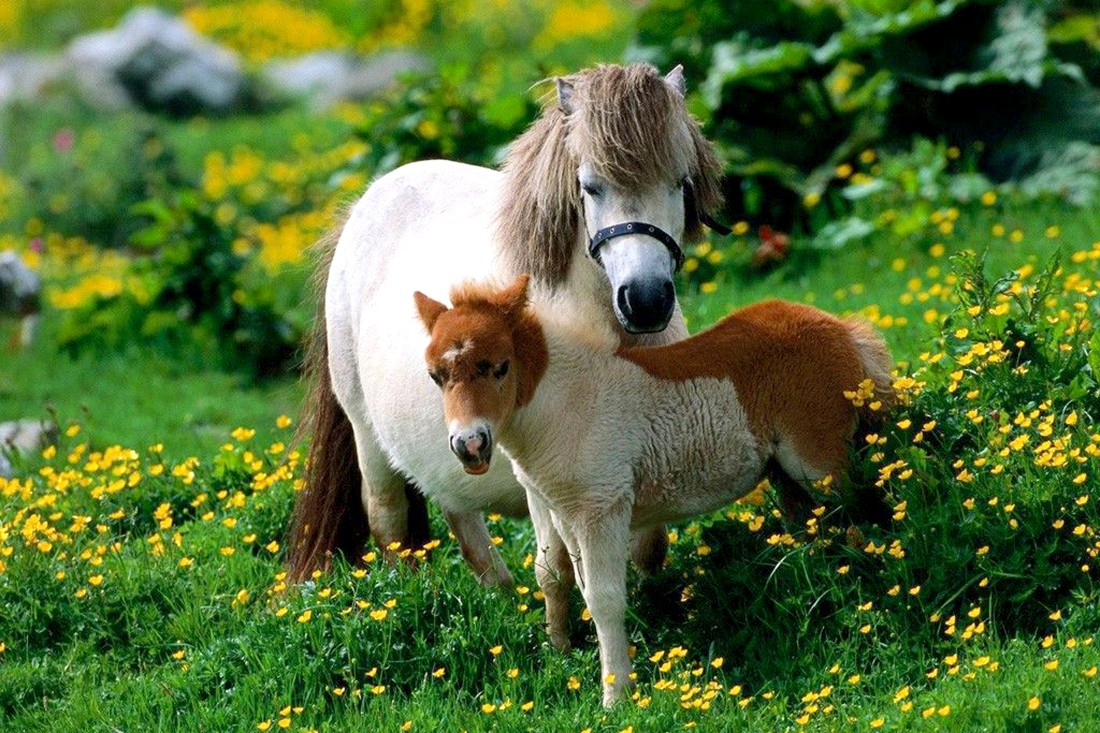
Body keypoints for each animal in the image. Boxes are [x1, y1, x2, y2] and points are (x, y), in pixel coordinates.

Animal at [287, 63, 725, 585]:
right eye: (590, 186)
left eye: (680, 182)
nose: (645, 300)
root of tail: (362, 207)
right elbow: (562, 565)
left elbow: (648, 547)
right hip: (367, 435)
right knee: (389, 518)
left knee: (457, 507)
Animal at [415, 275, 894, 706]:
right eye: (435, 376)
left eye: (500, 367)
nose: (469, 445)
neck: (566, 404)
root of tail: (841, 328)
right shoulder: (564, 513)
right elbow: (569, 582)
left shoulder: (602, 509)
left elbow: (606, 599)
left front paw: (616, 696)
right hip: (785, 474)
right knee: (813, 528)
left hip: (819, 464)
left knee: (864, 515)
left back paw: (871, 606)